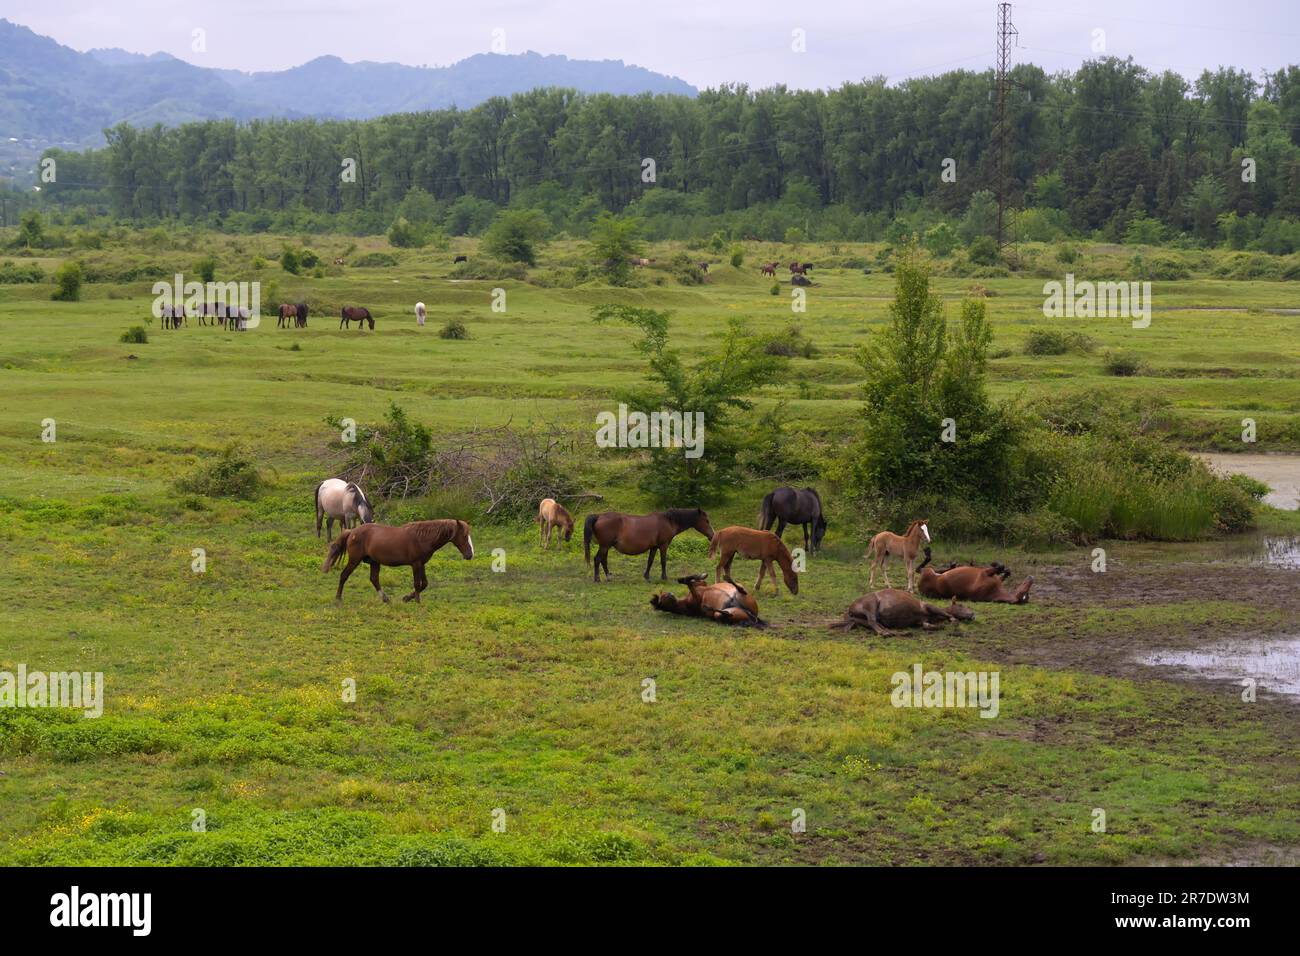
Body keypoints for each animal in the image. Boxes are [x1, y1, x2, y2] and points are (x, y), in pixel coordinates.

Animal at [322, 519, 474, 603]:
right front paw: (417, 601)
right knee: (344, 575)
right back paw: (338, 597)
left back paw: (385, 599)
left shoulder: (422, 564)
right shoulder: (415, 564)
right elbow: (417, 584)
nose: (470, 555)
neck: (422, 538)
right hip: (355, 560)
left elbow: (424, 584)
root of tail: (352, 532)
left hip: (374, 562)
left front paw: (407, 598)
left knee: (374, 579)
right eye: (464, 535)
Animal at [584, 508, 714, 582]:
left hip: (606, 546)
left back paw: (608, 577)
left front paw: (646, 576)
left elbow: (650, 561)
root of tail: (599, 516)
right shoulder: (663, 545)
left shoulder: (654, 547)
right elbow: (663, 561)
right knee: (597, 559)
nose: (712, 535)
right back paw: (597, 579)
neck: (668, 521)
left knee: (603, 560)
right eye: (706, 521)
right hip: (605, 546)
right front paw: (664, 577)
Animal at [831, 589, 973, 636]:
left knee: (877, 624)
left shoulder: (922, 621)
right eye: (961, 605)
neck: (933, 617)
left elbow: (927, 626)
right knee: (873, 622)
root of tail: (849, 610)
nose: (972, 614)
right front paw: (953, 620)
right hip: (870, 605)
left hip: (863, 618)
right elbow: (948, 615)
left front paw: (940, 626)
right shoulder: (929, 606)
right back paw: (885, 633)